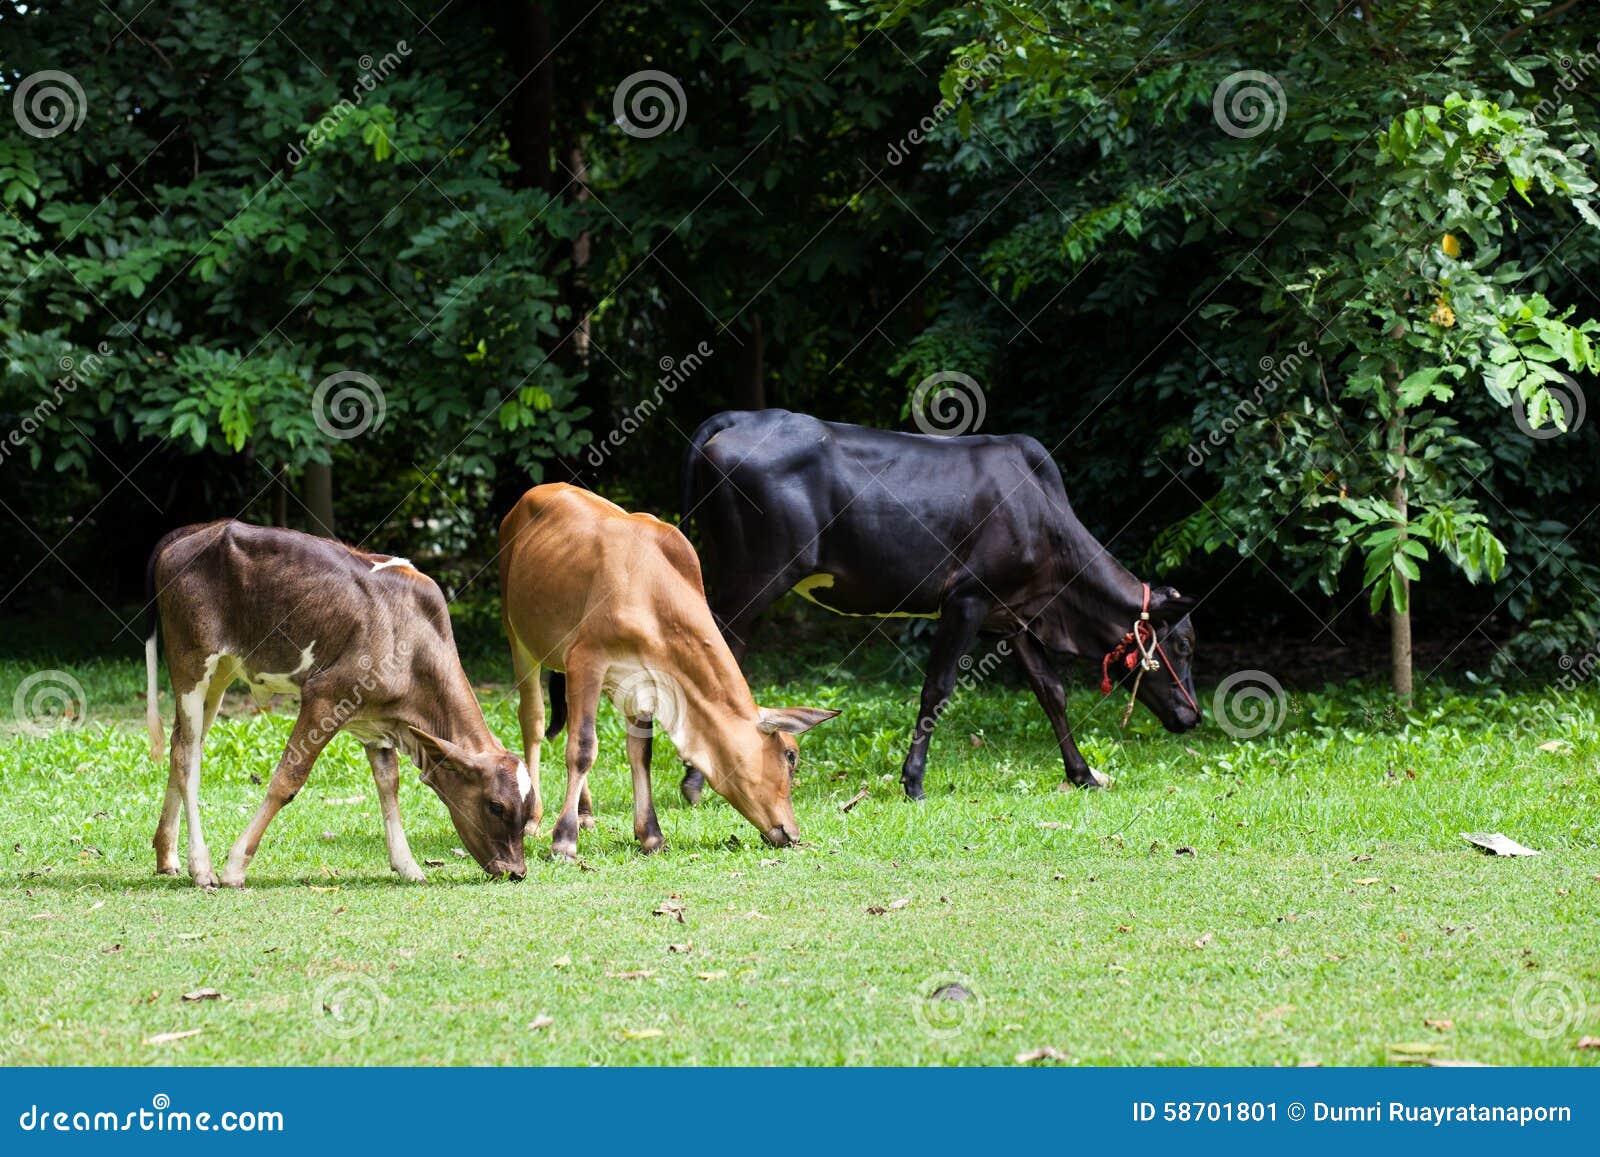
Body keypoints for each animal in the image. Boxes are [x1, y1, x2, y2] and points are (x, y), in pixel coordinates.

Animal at [145, 521, 531, 888]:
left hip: (220, 675)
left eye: (529, 813)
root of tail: (200, 530)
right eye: (496, 806)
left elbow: (389, 785)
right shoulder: (325, 696)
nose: (516, 872)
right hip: (192, 665)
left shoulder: (378, 724)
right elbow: (287, 780)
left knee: (184, 745)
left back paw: (167, 855)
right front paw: (235, 867)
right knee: (186, 757)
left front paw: (407, 865)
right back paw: (201, 867)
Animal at [497, 483, 838, 860]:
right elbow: (583, 748)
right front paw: (564, 841)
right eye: (790, 755)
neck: (650, 592)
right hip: (519, 639)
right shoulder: (586, 660)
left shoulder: (641, 681)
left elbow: (640, 754)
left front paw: (650, 835)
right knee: (533, 721)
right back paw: (535, 817)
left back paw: (585, 814)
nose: (792, 833)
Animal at [679, 409, 1201, 801]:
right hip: (754, 578)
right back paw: (694, 780)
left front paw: (1082, 774)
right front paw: (913, 783)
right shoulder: (966, 599)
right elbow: (937, 689)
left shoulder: (1011, 615)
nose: (1194, 717)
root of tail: (739, 417)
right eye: (1185, 646)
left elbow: (1051, 691)